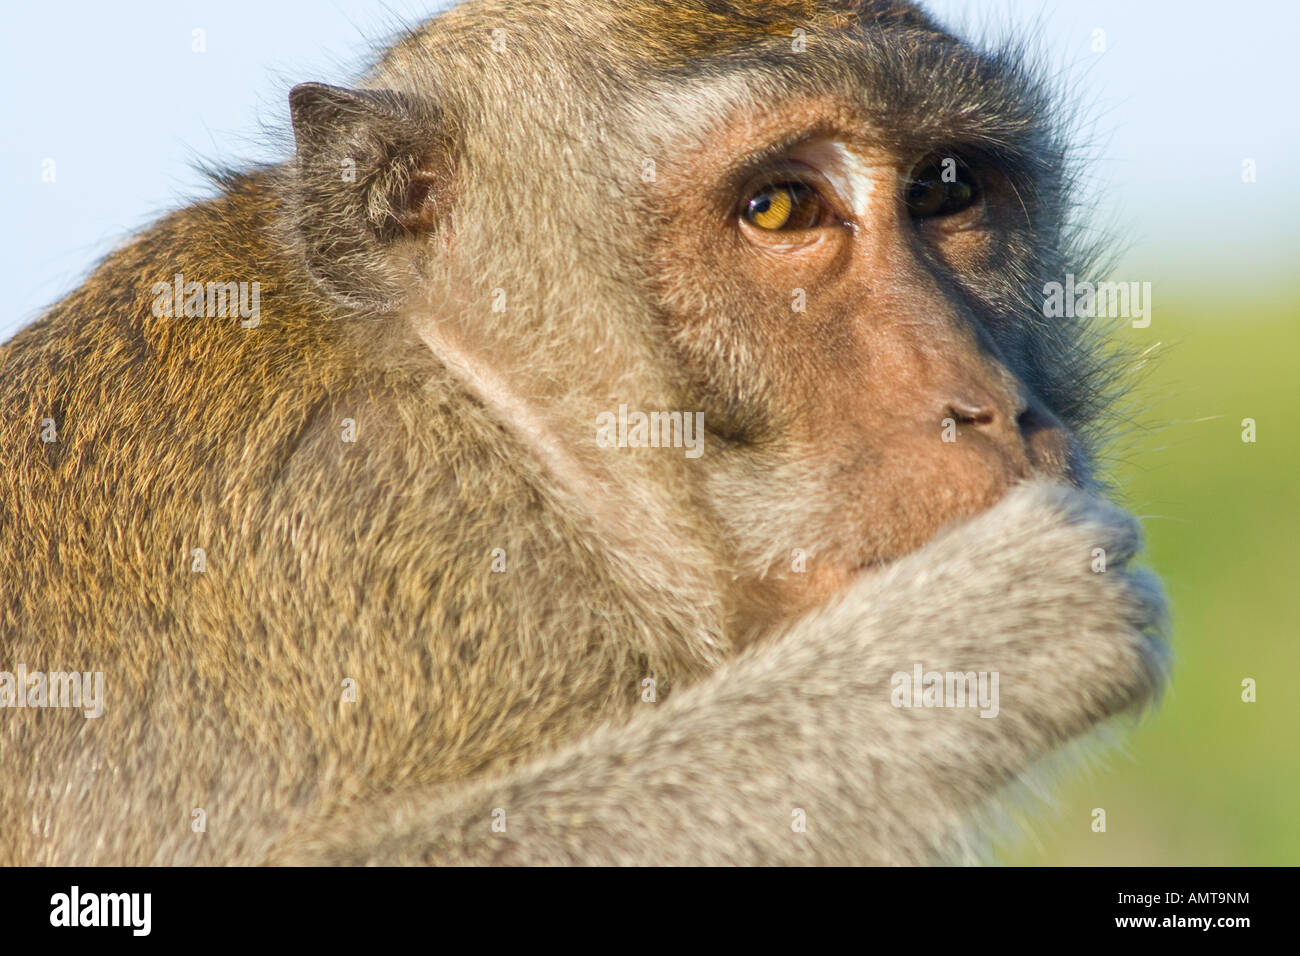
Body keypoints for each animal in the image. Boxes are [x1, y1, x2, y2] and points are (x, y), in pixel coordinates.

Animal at [0, 0, 1168, 866]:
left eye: (946, 188)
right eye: (780, 208)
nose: (992, 405)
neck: (500, 415)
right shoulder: (387, 550)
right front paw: (985, 622)